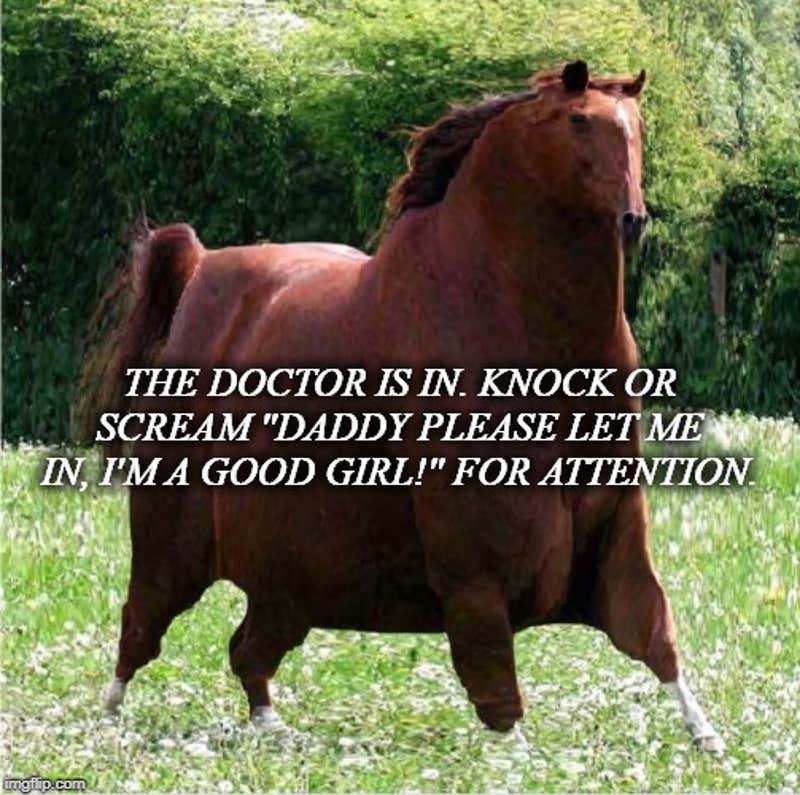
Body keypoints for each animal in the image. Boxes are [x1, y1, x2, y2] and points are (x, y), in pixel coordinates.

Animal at [91, 61, 724, 752]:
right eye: (580, 120)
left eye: (636, 125)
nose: (633, 220)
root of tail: (203, 267)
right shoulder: (474, 565)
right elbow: (496, 681)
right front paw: (519, 757)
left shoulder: (615, 533)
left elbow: (652, 630)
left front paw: (709, 738)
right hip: (171, 534)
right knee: (141, 623)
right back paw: (109, 720)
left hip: (291, 580)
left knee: (248, 648)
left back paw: (271, 726)